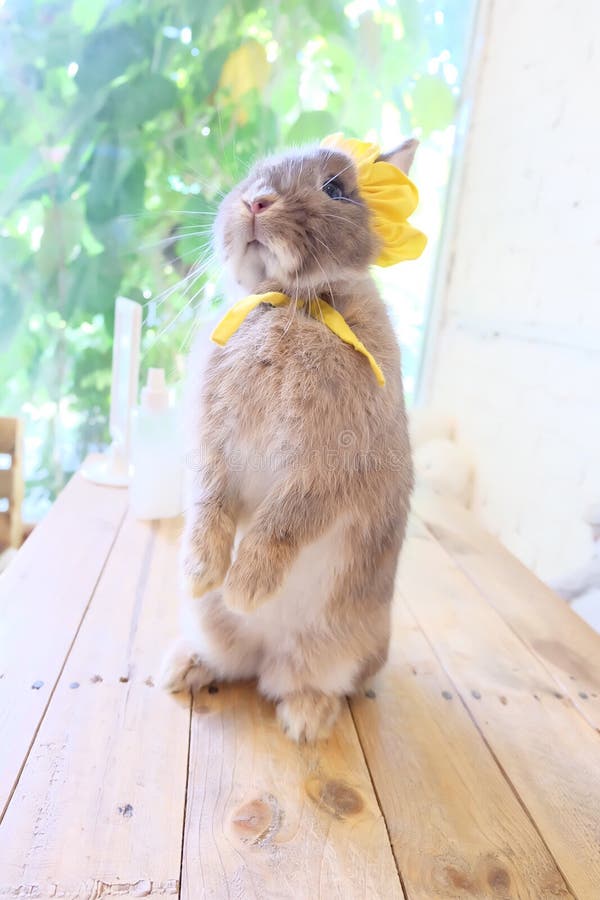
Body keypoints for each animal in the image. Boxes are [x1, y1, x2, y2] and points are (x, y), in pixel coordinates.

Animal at [160, 138, 417, 742]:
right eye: (252, 175)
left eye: (336, 190)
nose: (256, 202)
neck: (290, 300)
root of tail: (264, 652)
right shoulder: (211, 443)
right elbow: (208, 498)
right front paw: (203, 572)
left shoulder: (329, 468)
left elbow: (285, 523)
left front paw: (245, 588)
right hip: (210, 627)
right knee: (228, 660)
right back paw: (183, 666)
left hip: (341, 649)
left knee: (313, 683)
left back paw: (304, 719)